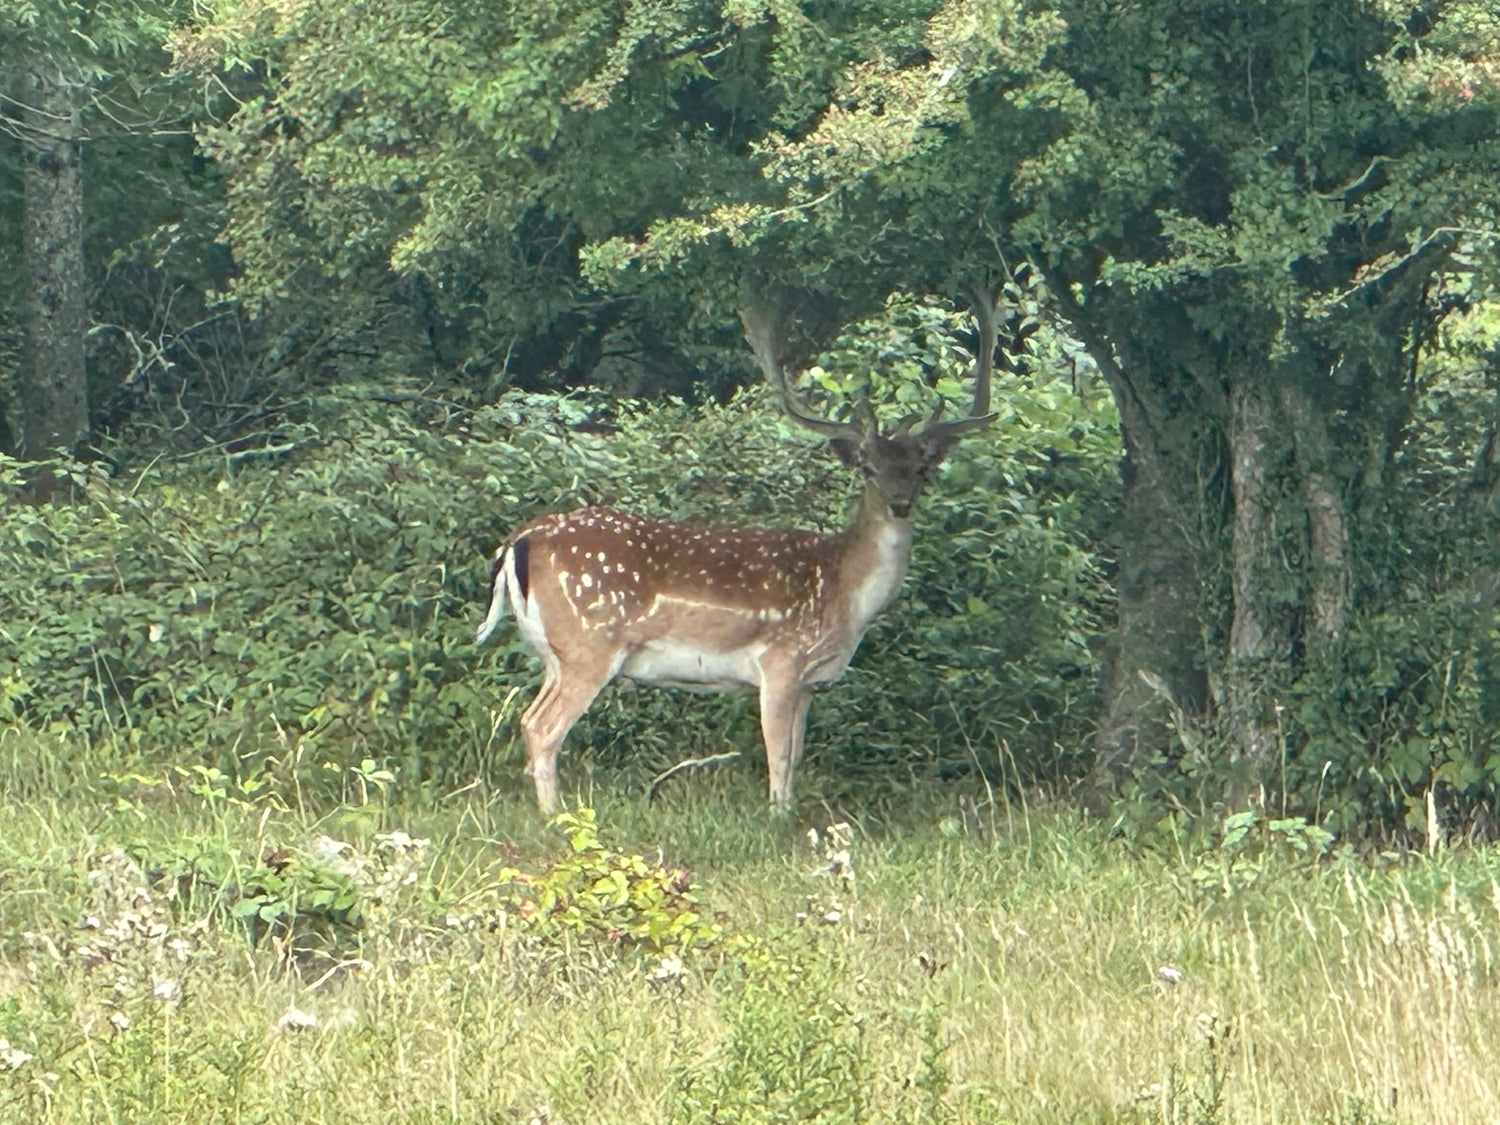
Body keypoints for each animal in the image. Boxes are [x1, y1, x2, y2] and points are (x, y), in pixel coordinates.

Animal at [476, 287, 1005, 812]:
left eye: (922, 469)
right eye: (867, 468)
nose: (899, 504)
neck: (844, 594)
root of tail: (518, 542)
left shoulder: (809, 682)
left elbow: (796, 754)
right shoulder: (780, 660)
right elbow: (779, 754)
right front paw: (777, 819)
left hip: (554, 654)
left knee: (528, 718)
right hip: (590, 642)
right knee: (543, 727)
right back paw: (555, 816)